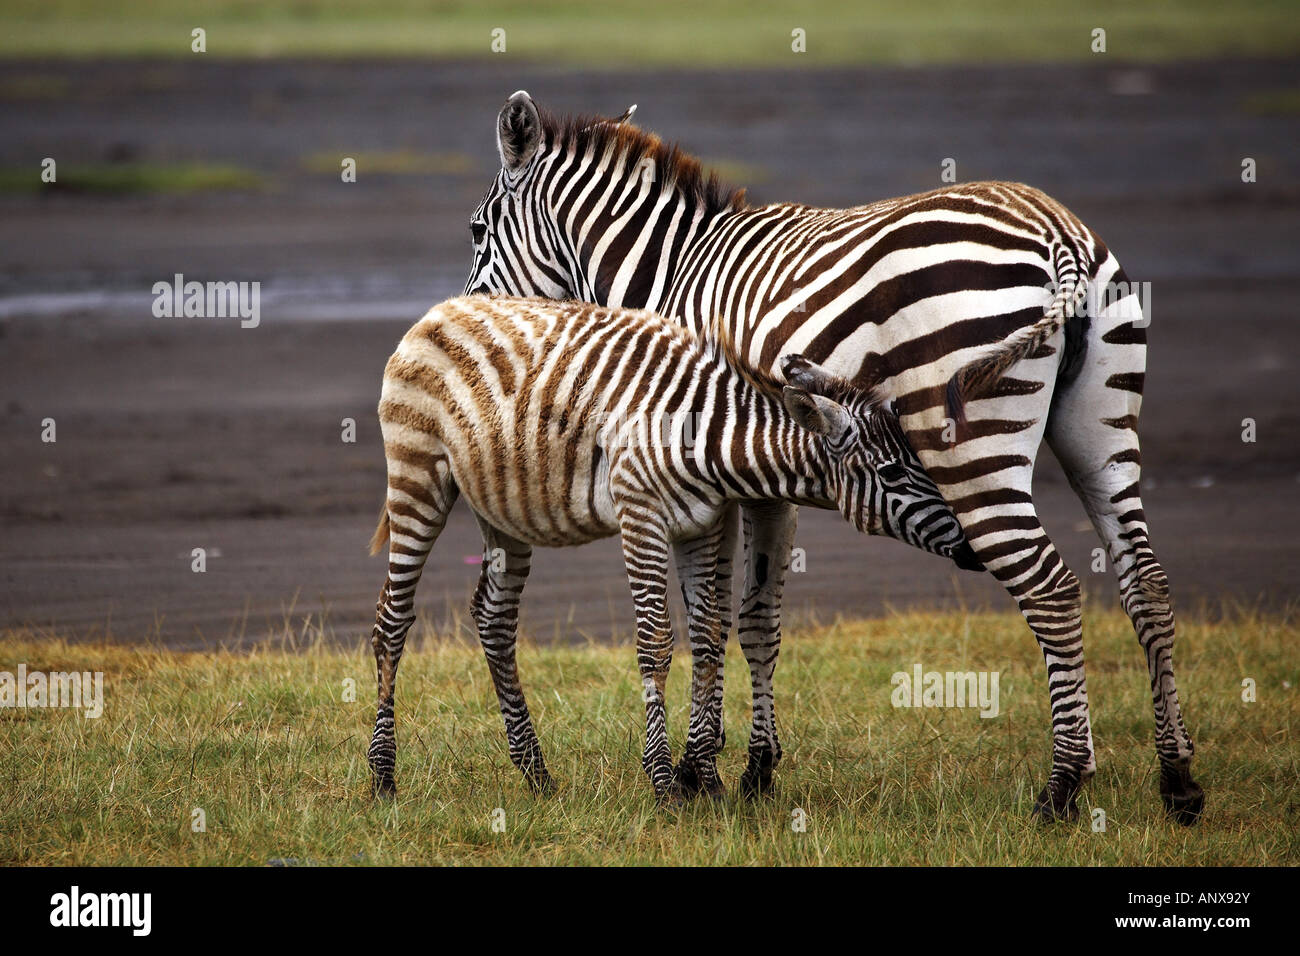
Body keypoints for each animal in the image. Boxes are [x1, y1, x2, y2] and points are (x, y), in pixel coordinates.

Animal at [365, 294, 974, 800]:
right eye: (893, 473)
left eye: (919, 464)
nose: (969, 550)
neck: (704, 434)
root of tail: (439, 309)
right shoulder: (641, 515)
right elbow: (657, 642)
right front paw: (663, 782)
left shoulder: (701, 525)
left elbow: (707, 635)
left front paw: (703, 778)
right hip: (417, 476)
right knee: (392, 619)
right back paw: (383, 777)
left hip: (503, 508)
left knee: (493, 618)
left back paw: (536, 774)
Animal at [461, 91, 1204, 824]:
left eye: (474, 231)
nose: (469, 330)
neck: (669, 272)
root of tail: (1058, 234)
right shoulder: (763, 474)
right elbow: (757, 618)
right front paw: (754, 768)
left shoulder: (710, 469)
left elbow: (708, 618)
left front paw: (700, 771)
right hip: (1101, 436)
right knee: (1147, 583)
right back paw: (1178, 780)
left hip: (976, 447)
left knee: (1049, 588)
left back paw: (1063, 788)